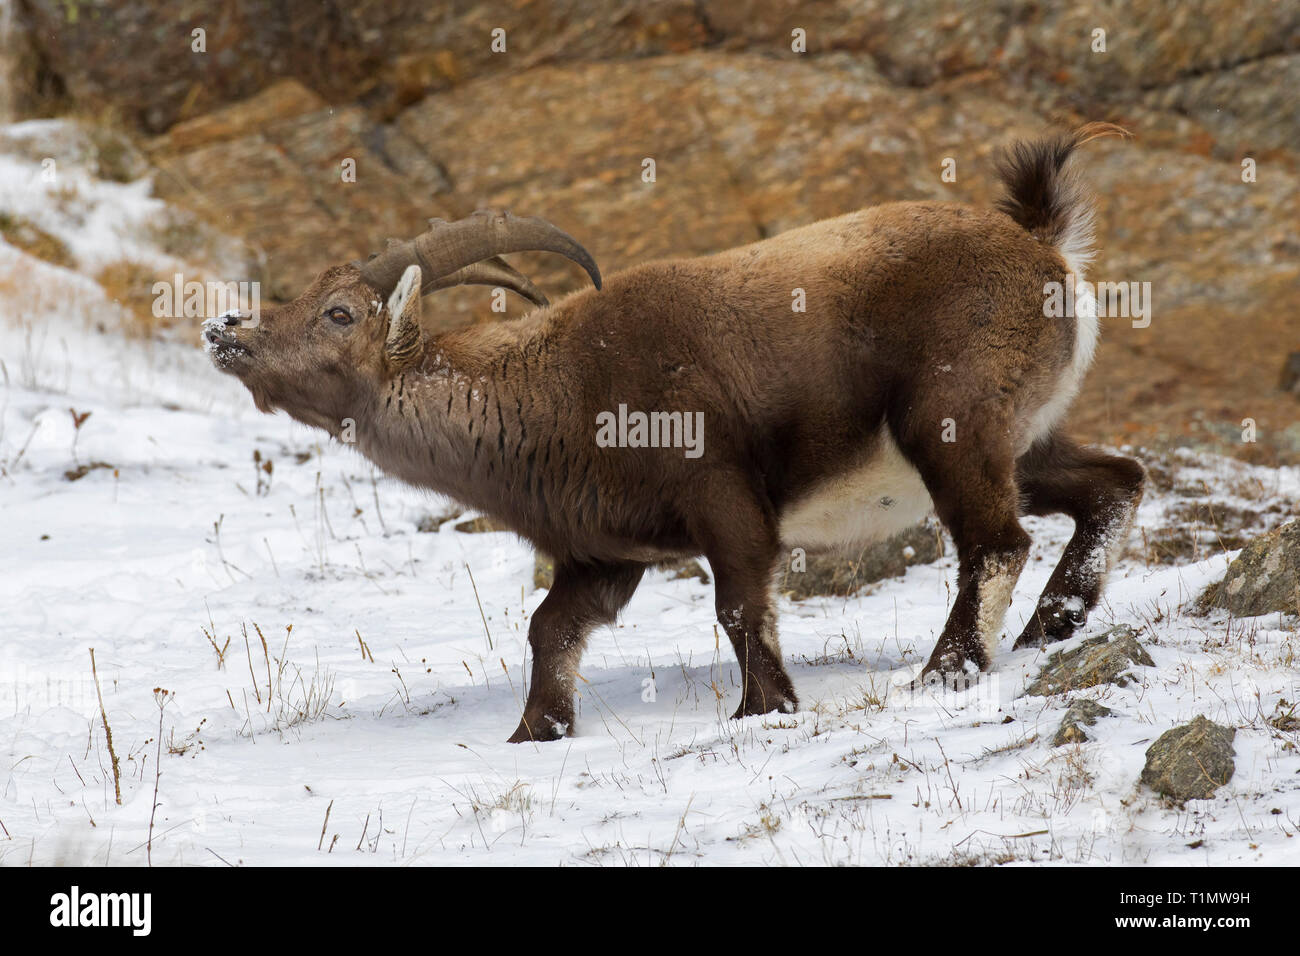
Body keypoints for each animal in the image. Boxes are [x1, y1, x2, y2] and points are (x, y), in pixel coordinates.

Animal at [204, 124, 1144, 743]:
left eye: (338, 312)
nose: (225, 329)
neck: (558, 391)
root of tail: (1045, 246)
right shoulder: (604, 554)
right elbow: (551, 627)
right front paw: (538, 730)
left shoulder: (722, 500)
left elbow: (737, 604)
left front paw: (764, 709)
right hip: (1023, 439)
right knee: (1115, 481)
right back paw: (1052, 625)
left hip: (948, 426)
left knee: (996, 540)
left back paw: (949, 667)